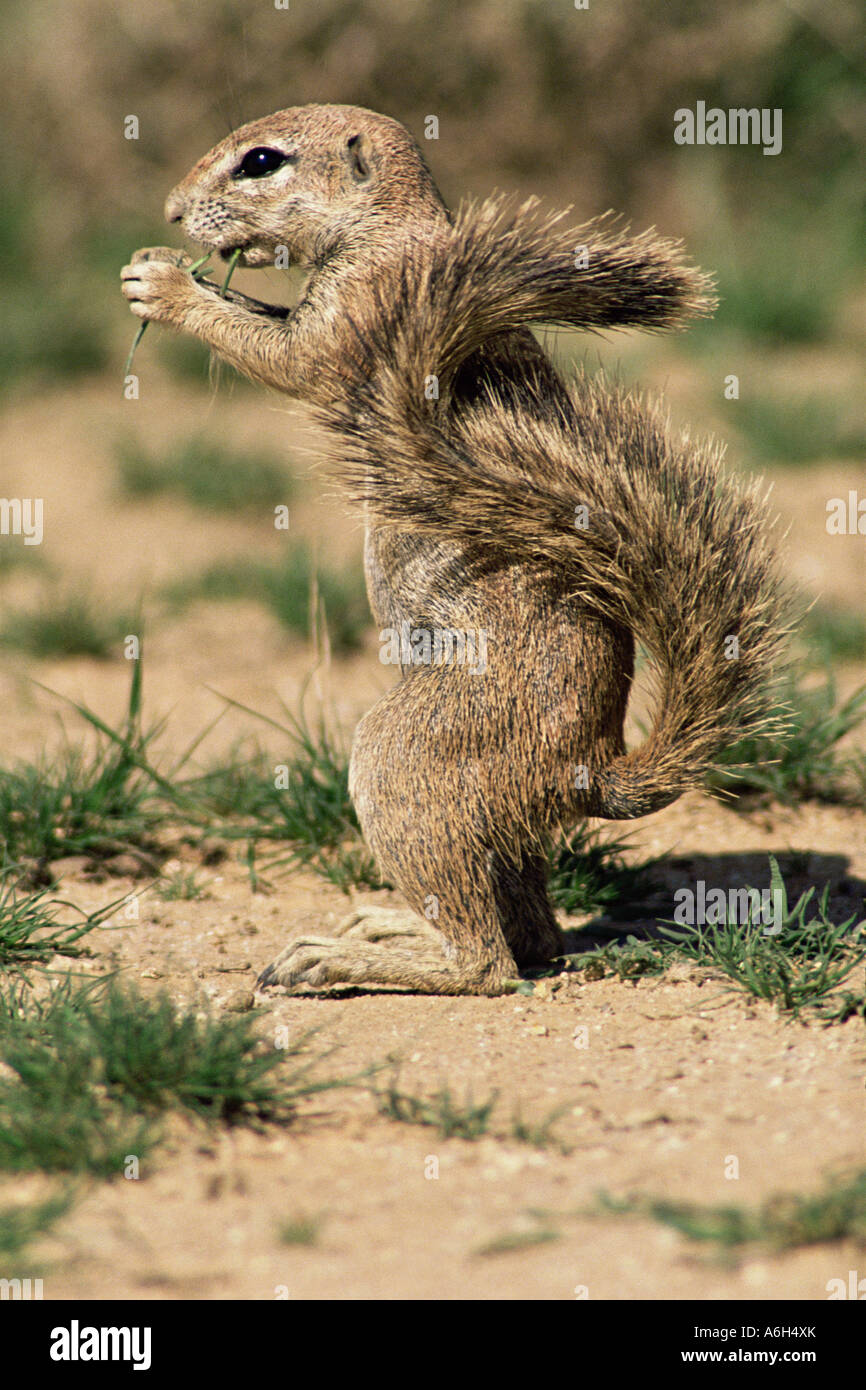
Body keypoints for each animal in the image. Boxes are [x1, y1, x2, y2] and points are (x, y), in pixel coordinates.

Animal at [121, 104, 787, 996]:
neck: (391, 230)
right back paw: (387, 926)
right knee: (533, 935)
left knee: (489, 965)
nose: (169, 213)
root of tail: (590, 768)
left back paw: (343, 959)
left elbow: (284, 355)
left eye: (261, 162)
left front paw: (160, 284)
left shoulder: (362, 313)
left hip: (407, 765)